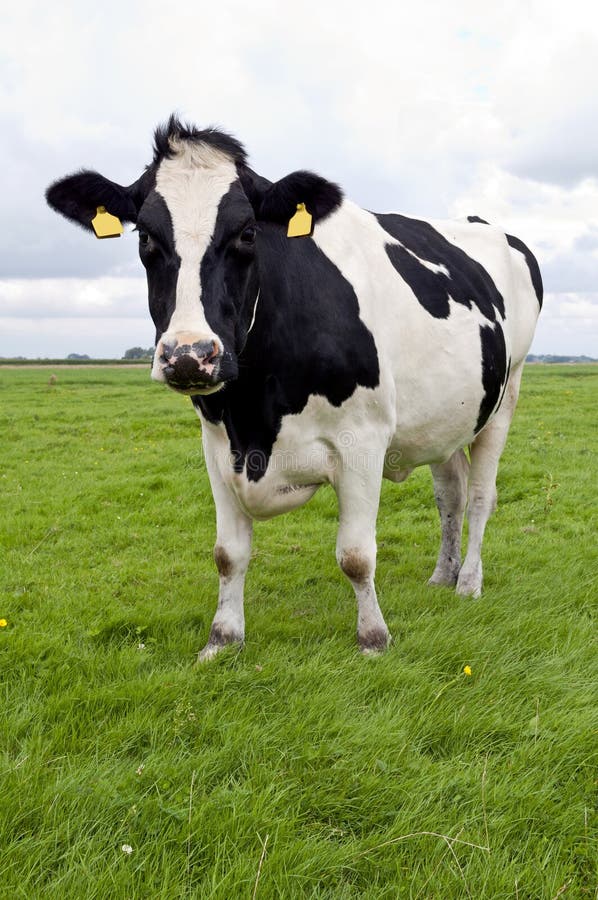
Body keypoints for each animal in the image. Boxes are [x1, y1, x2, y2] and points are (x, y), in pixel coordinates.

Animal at [46, 115, 542, 660]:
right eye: (145, 237)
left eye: (247, 233)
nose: (189, 355)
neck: (253, 413)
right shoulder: (216, 446)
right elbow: (228, 553)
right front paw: (222, 639)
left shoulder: (363, 440)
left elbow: (356, 555)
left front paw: (373, 638)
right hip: (444, 416)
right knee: (449, 493)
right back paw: (442, 575)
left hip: (505, 396)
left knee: (480, 495)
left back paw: (469, 582)